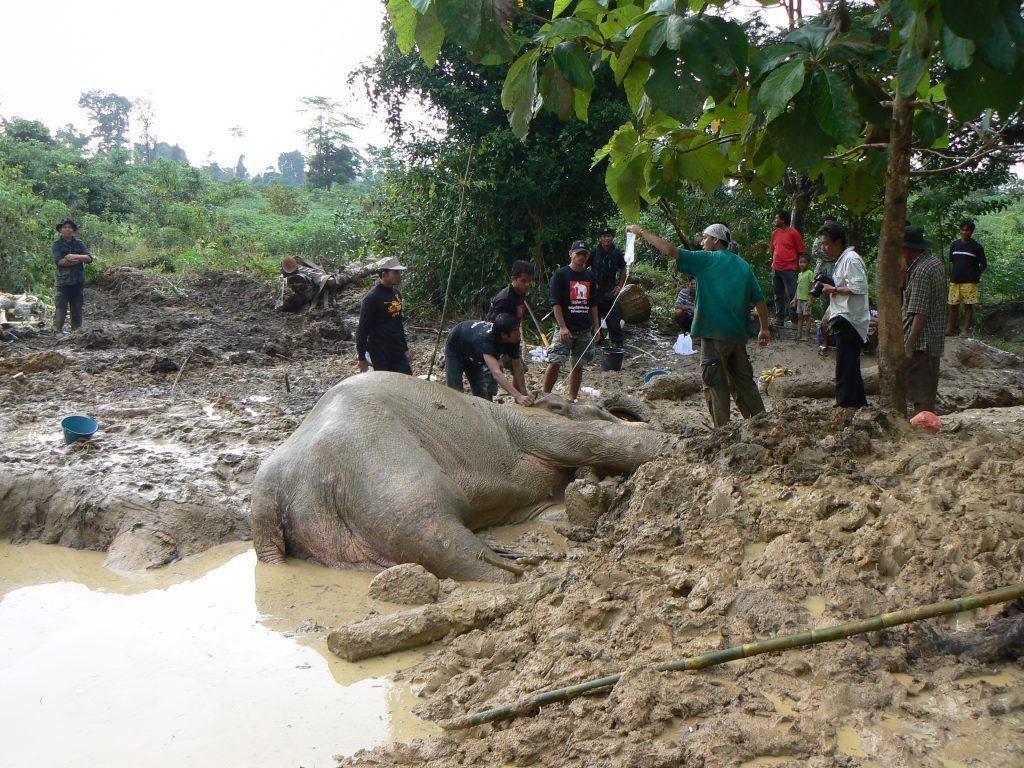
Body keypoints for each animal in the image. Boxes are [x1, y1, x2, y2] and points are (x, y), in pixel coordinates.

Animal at [251, 372, 672, 581]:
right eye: (582, 405)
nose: (623, 410)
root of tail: (271, 497)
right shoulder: (530, 428)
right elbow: (589, 439)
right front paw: (673, 445)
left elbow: (548, 510)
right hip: (383, 471)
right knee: (438, 535)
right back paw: (523, 572)